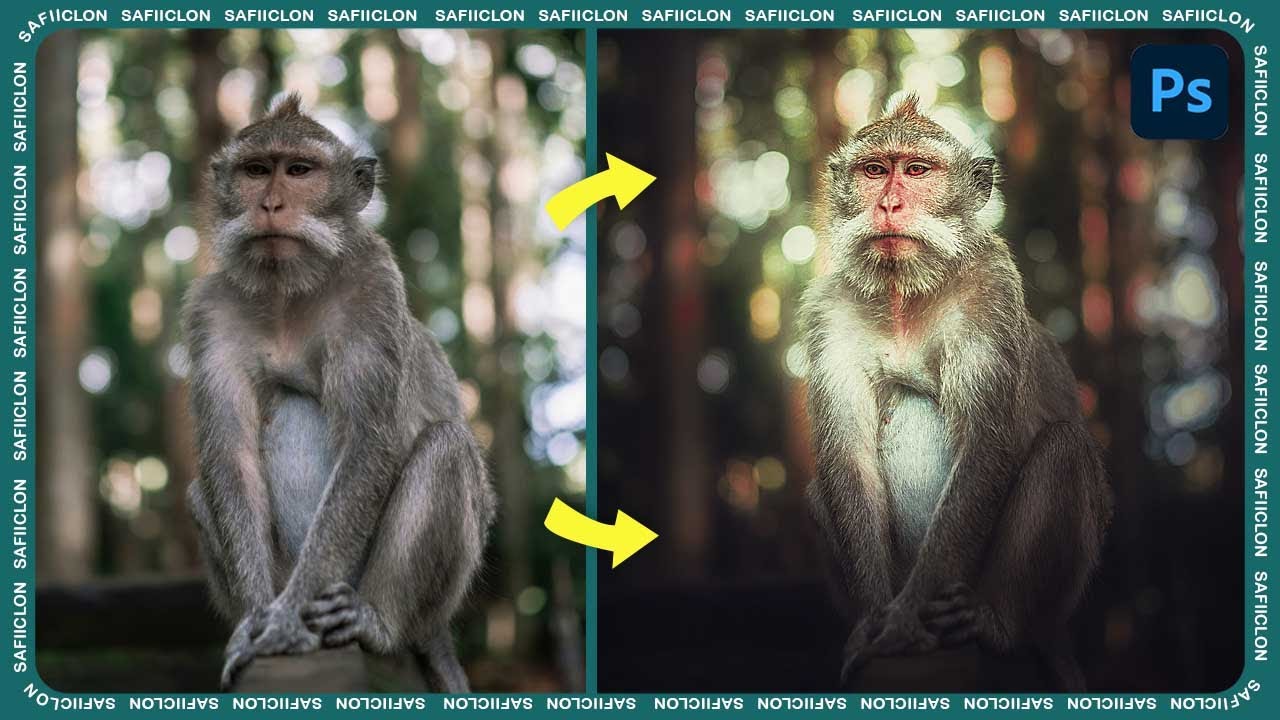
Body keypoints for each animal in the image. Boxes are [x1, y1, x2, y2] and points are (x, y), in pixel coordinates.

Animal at [182, 94, 496, 692]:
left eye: (300, 170)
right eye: (256, 170)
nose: (271, 204)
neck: (287, 289)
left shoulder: (374, 287)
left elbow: (368, 444)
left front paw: (282, 621)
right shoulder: (211, 311)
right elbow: (230, 458)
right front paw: (255, 622)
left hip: (402, 593)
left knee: (447, 448)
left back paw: (377, 622)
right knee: (202, 484)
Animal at [799, 96, 1112, 691]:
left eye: (918, 170)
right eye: (875, 170)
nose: (890, 203)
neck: (904, 292)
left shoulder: (991, 290)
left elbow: (985, 447)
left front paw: (901, 622)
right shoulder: (829, 313)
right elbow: (848, 461)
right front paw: (873, 625)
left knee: (1063, 448)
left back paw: (998, 621)